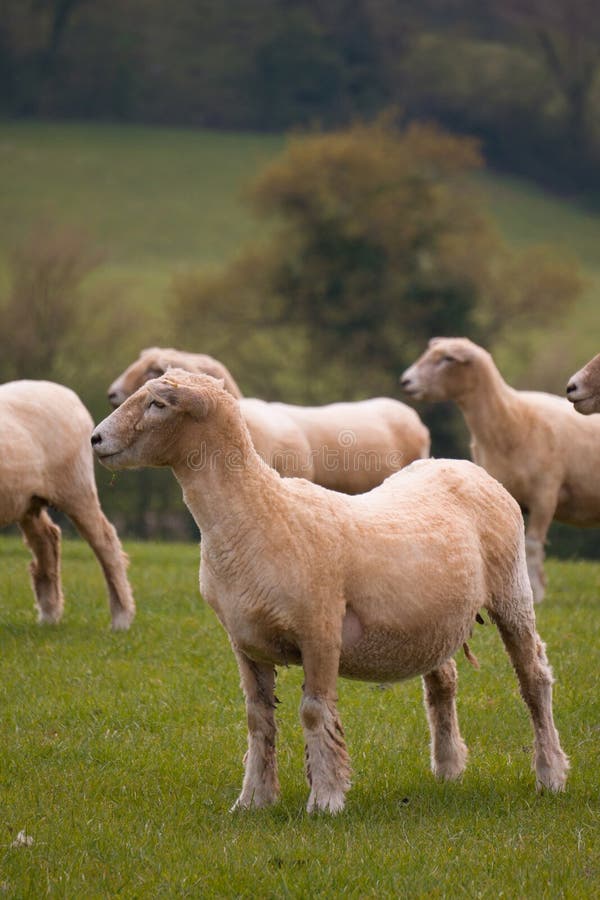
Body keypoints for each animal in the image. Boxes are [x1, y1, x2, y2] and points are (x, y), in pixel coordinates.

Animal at [1, 379, 135, 629]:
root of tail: (69, 395)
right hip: (27, 499)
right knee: (47, 540)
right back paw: (49, 614)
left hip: (75, 485)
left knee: (106, 541)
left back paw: (121, 618)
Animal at [91, 369, 569, 813]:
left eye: (158, 404)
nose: (96, 439)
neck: (259, 511)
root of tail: (463, 466)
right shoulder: (244, 641)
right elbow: (257, 719)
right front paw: (254, 799)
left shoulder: (319, 628)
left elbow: (314, 711)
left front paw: (325, 797)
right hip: (433, 618)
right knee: (442, 682)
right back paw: (448, 767)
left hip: (512, 591)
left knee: (534, 678)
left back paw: (550, 773)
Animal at [401, 337, 600, 603]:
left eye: (447, 359)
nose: (406, 381)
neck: (512, 418)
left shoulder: (545, 493)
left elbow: (532, 546)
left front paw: (537, 593)